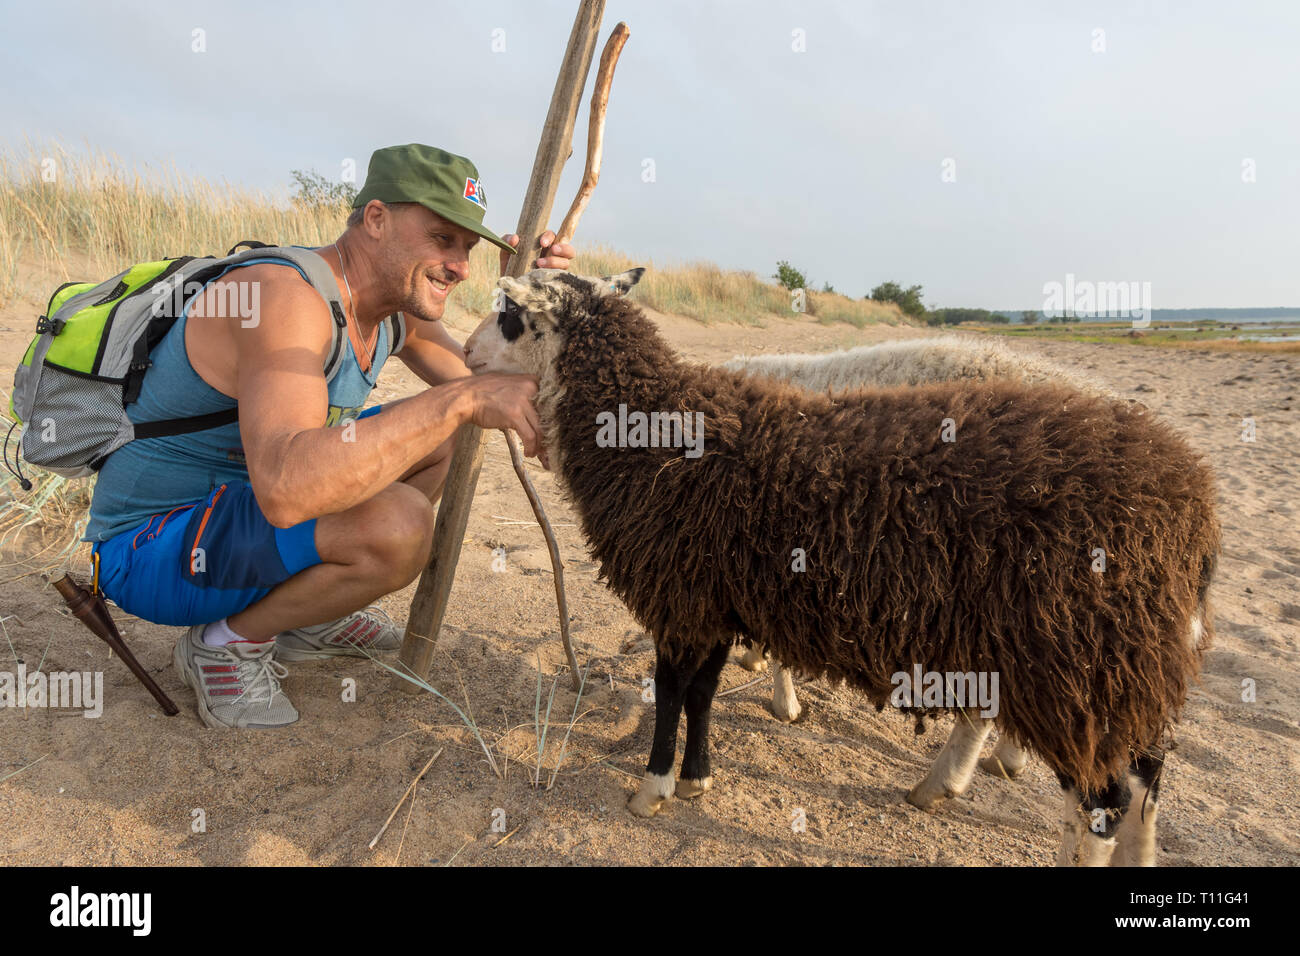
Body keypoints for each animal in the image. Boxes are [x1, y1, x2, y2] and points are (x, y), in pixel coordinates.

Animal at [463, 268, 1220, 866]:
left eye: (509, 313)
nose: (466, 352)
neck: (654, 428)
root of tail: (1192, 505)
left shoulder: (680, 595)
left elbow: (674, 690)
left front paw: (653, 788)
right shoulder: (718, 597)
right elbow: (704, 691)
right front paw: (699, 778)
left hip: (1073, 661)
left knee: (1100, 805)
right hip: (1121, 664)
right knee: (1145, 785)